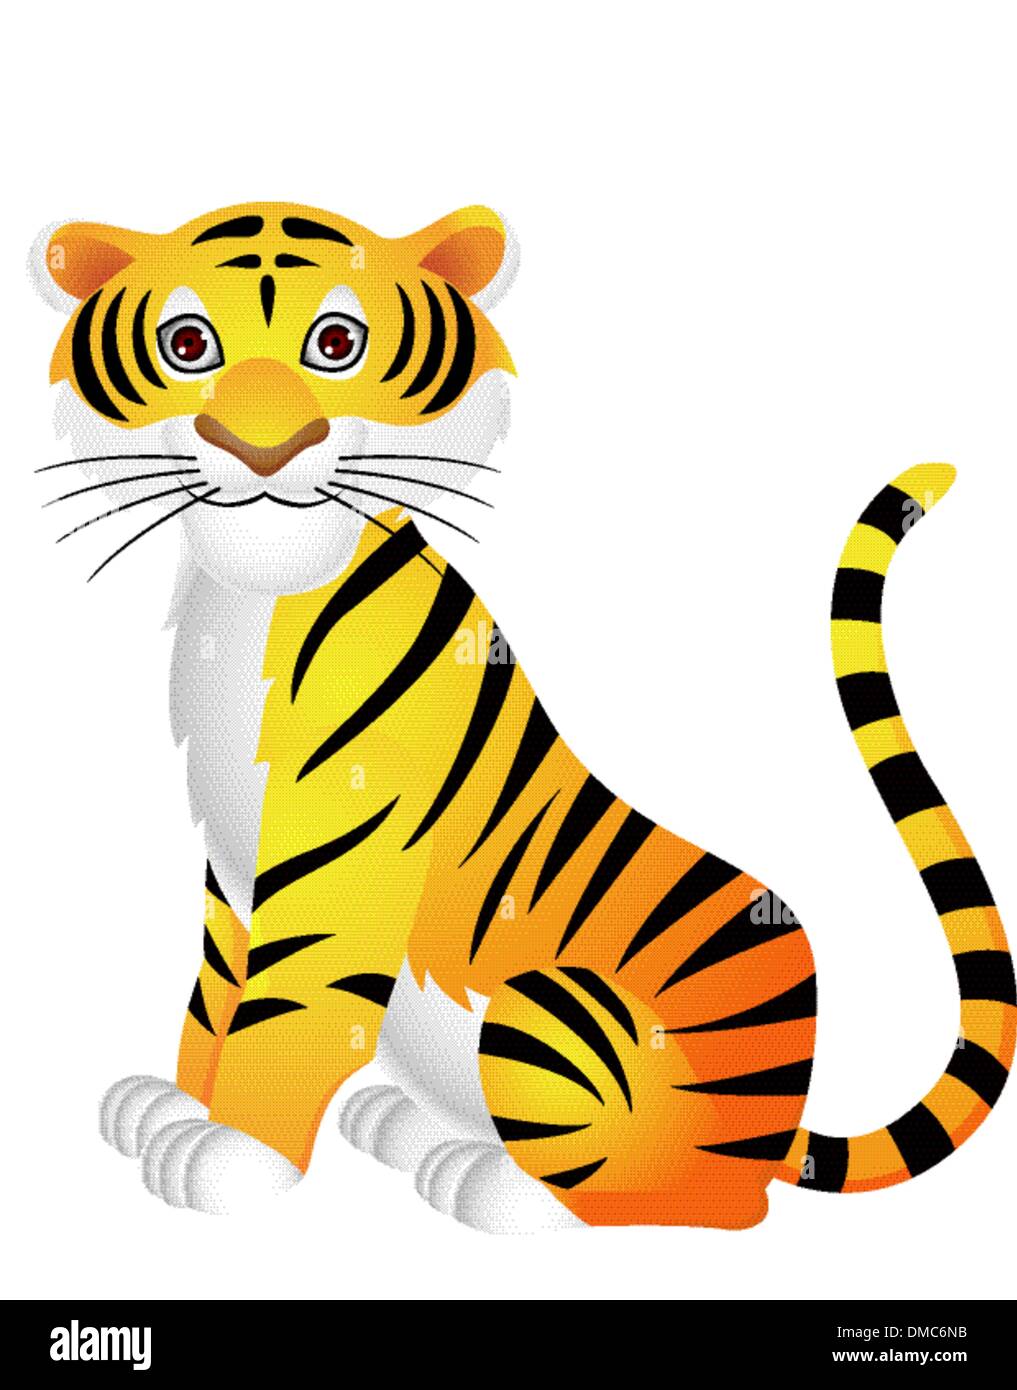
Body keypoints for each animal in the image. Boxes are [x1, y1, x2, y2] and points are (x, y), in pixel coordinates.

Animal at [32, 201, 1014, 1231]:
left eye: (335, 344)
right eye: (188, 345)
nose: (263, 448)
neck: (255, 590)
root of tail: (786, 1126)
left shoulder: (341, 861)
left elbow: (283, 1006)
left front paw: (232, 1152)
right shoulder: (233, 868)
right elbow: (213, 993)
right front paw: (178, 1103)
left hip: (555, 1008)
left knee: (697, 1199)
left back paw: (497, 1186)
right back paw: (409, 1131)